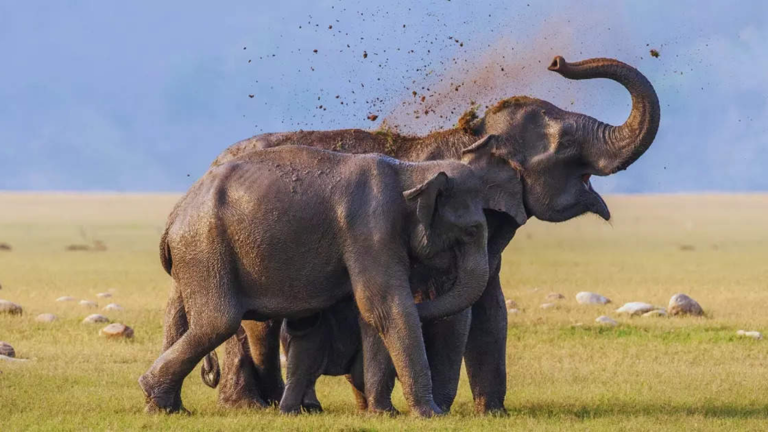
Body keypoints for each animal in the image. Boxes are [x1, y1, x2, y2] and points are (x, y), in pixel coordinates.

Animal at [140, 137, 527, 416]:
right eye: (472, 231)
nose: (439, 410)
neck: (412, 172)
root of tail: (174, 216)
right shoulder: (371, 229)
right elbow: (385, 306)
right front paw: (428, 415)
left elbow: (373, 314)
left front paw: (383, 414)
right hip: (205, 250)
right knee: (218, 321)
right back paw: (156, 398)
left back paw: (168, 407)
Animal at [200, 56, 661, 413]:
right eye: (565, 145)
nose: (556, 61)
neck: (473, 135)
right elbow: (454, 308)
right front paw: (440, 407)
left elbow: (490, 308)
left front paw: (492, 412)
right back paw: (251, 407)